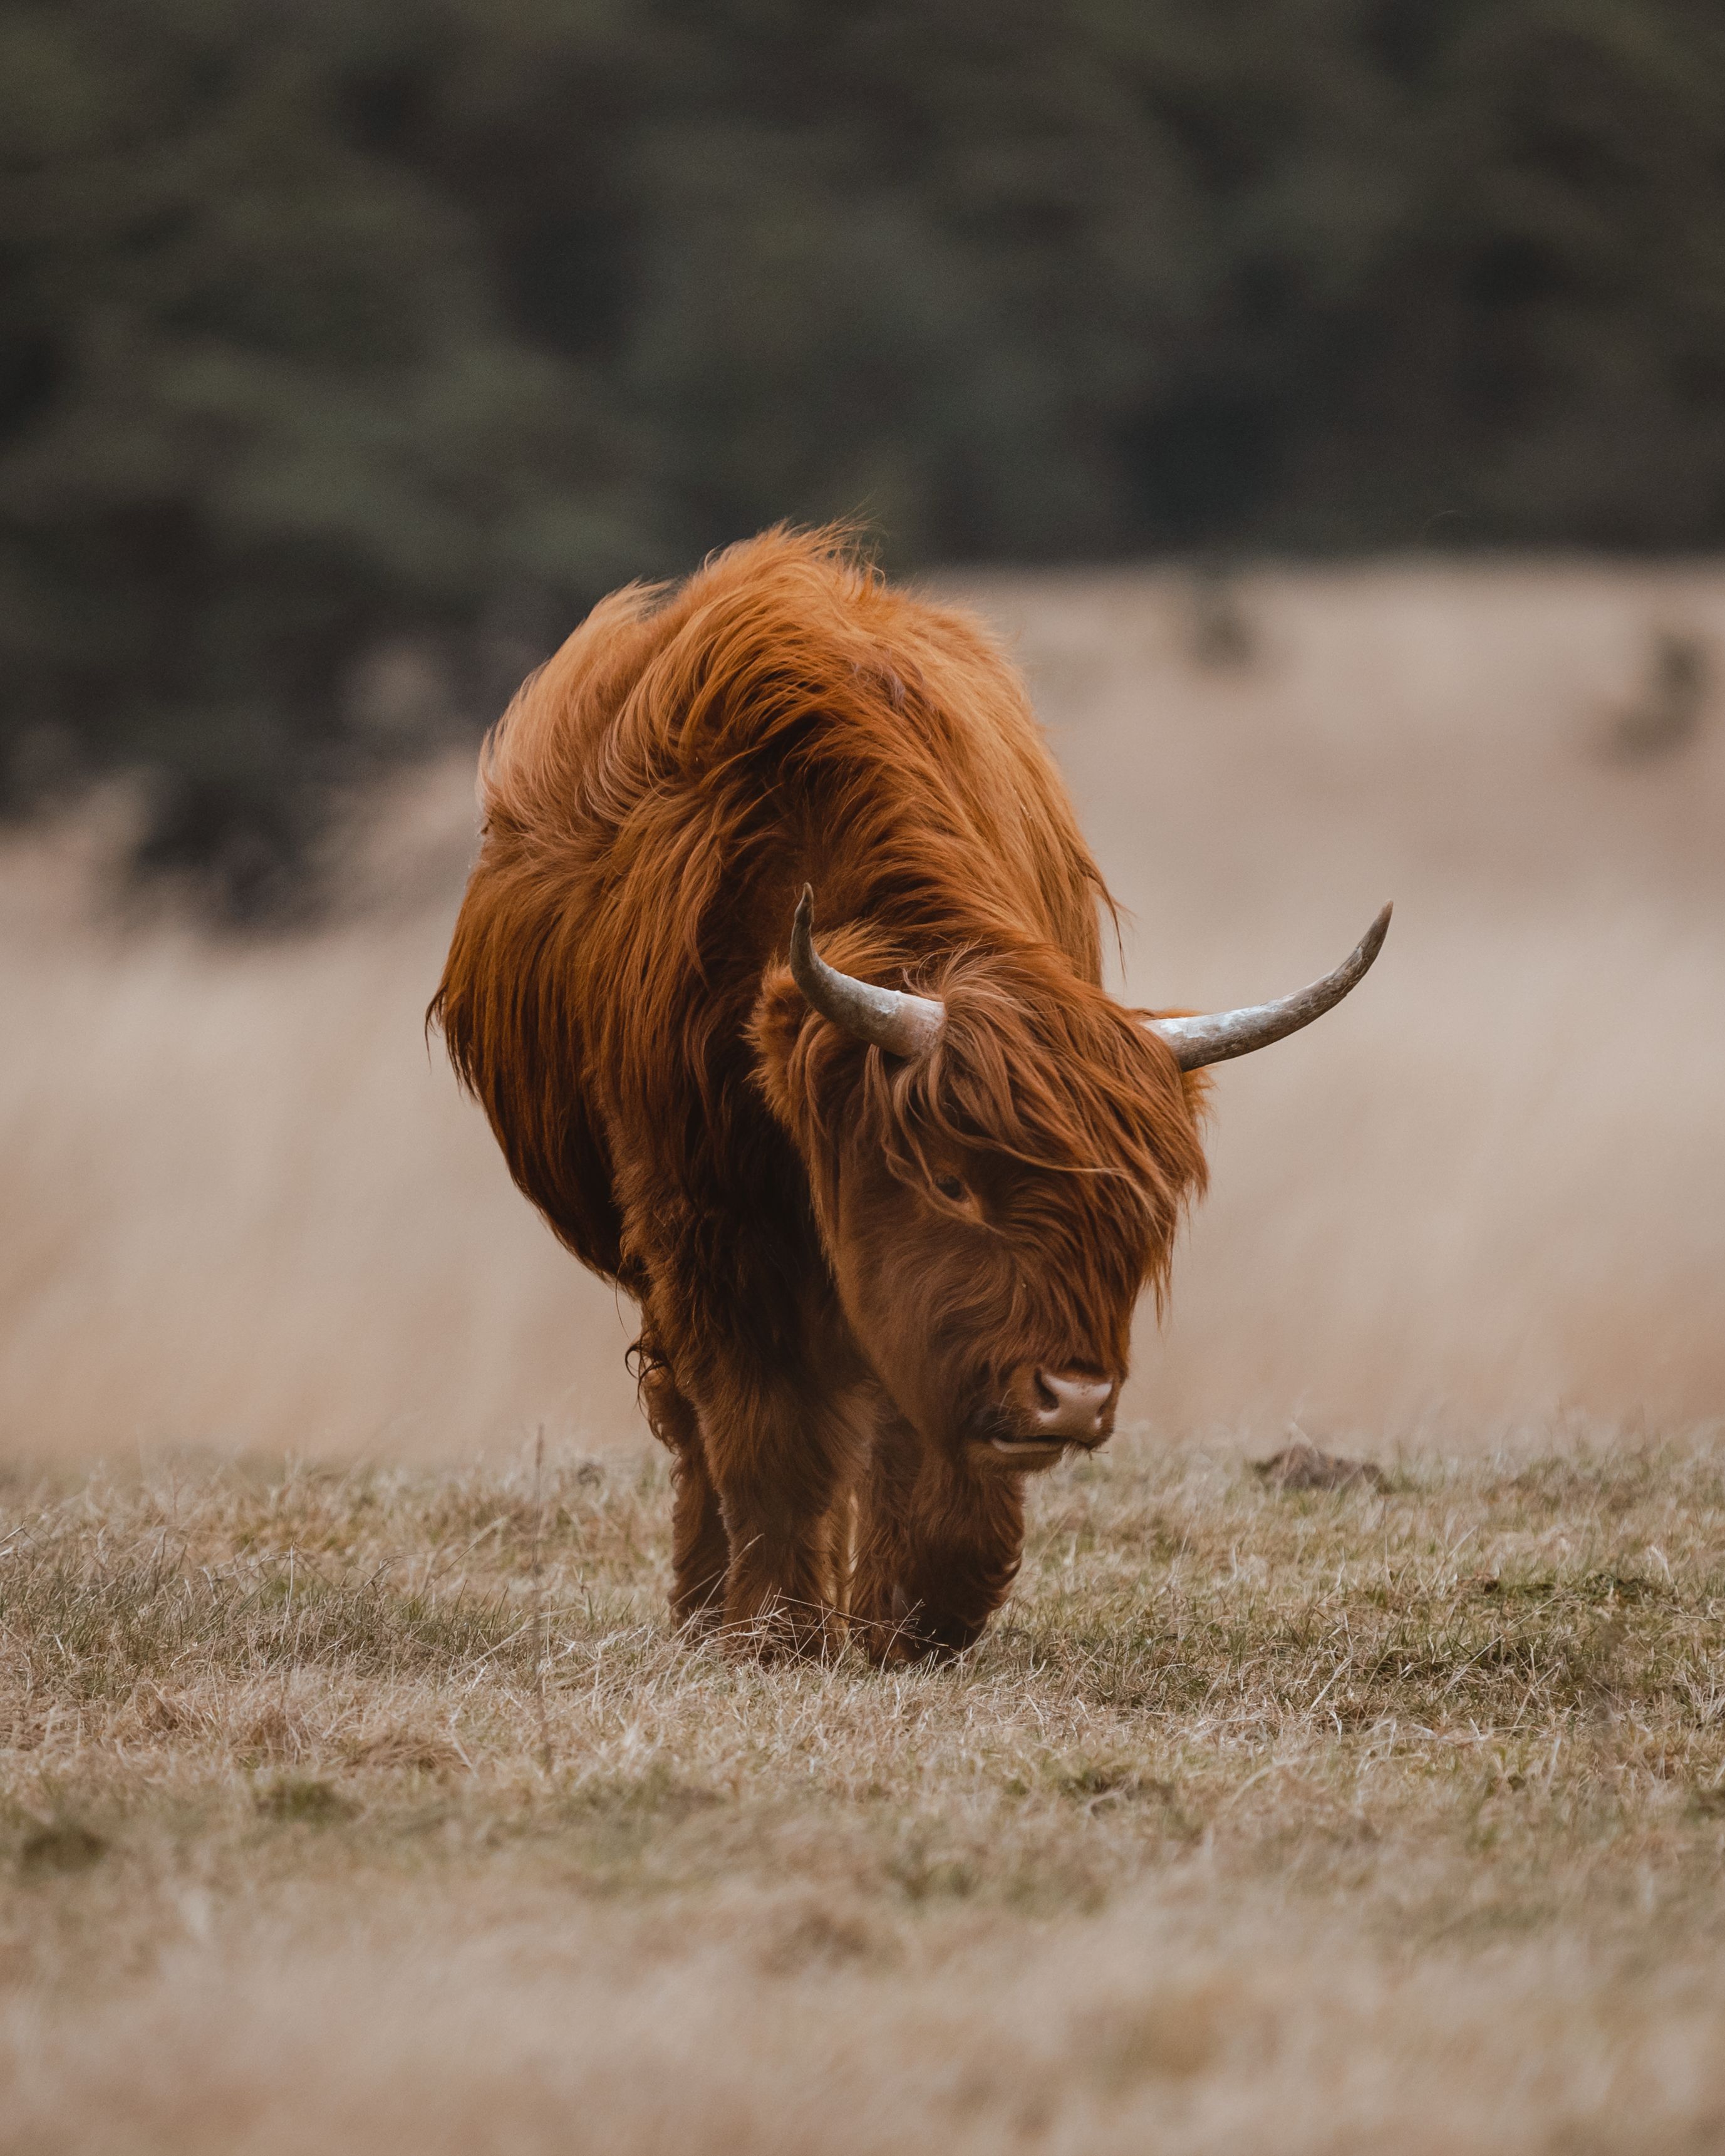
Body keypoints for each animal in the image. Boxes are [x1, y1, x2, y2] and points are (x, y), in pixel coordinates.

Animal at [431, 528, 1388, 1662]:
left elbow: (909, 1435)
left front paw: (919, 1611)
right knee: (699, 1425)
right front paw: (778, 1631)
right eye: (949, 1182)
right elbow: (761, 1433)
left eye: (1137, 1207)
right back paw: (708, 1610)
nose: (1071, 1399)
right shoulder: (704, 1222)